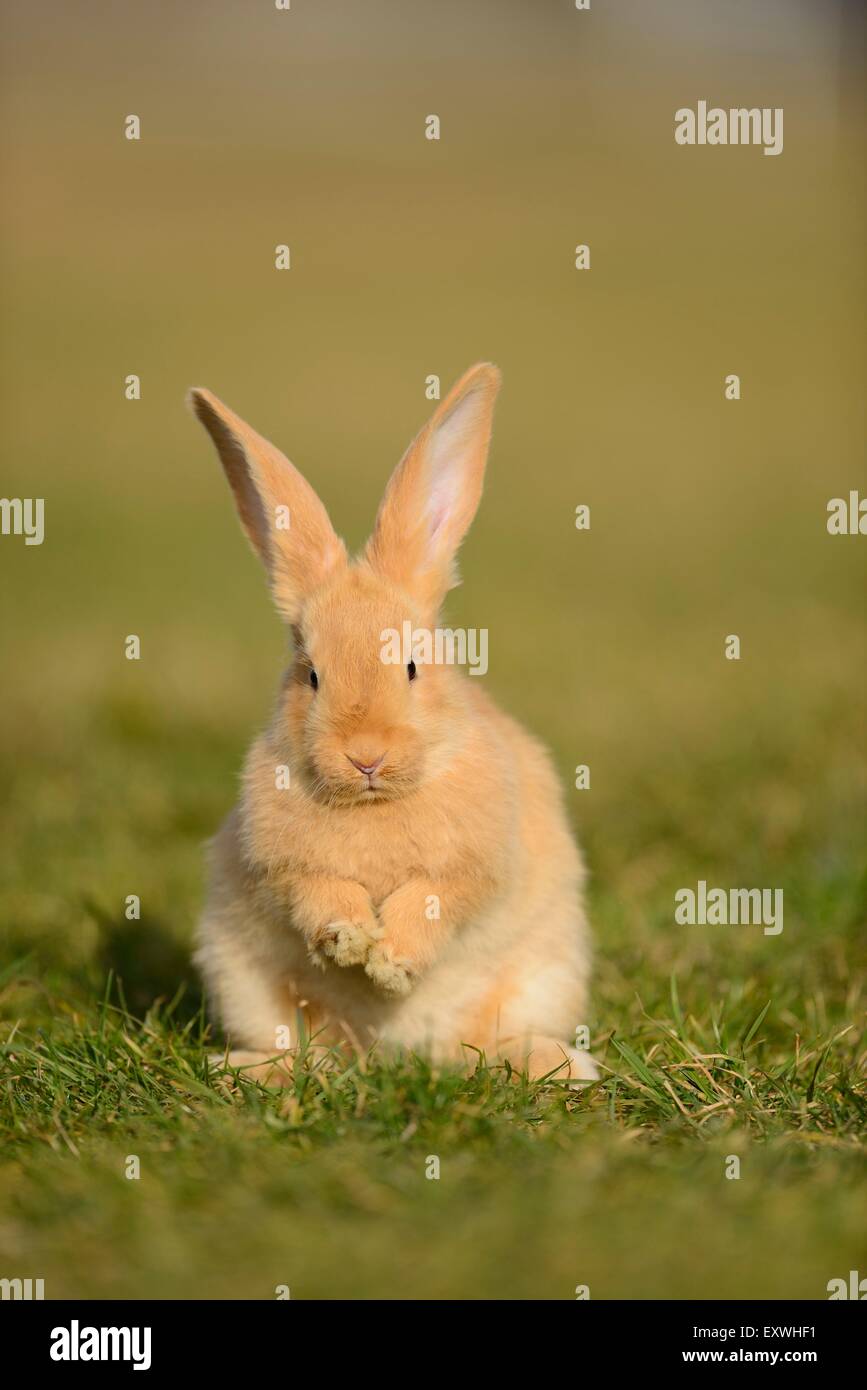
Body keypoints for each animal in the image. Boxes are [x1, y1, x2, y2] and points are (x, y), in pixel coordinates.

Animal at [189, 364, 597, 1083]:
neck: (377, 801)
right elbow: (319, 891)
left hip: (541, 976)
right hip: (243, 981)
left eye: (411, 666)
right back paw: (245, 1070)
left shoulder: (470, 872)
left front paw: (391, 962)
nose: (365, 755)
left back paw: (560, 1065)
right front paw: (350, 938)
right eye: (311, 673)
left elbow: (431, 900)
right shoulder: (283, 869)